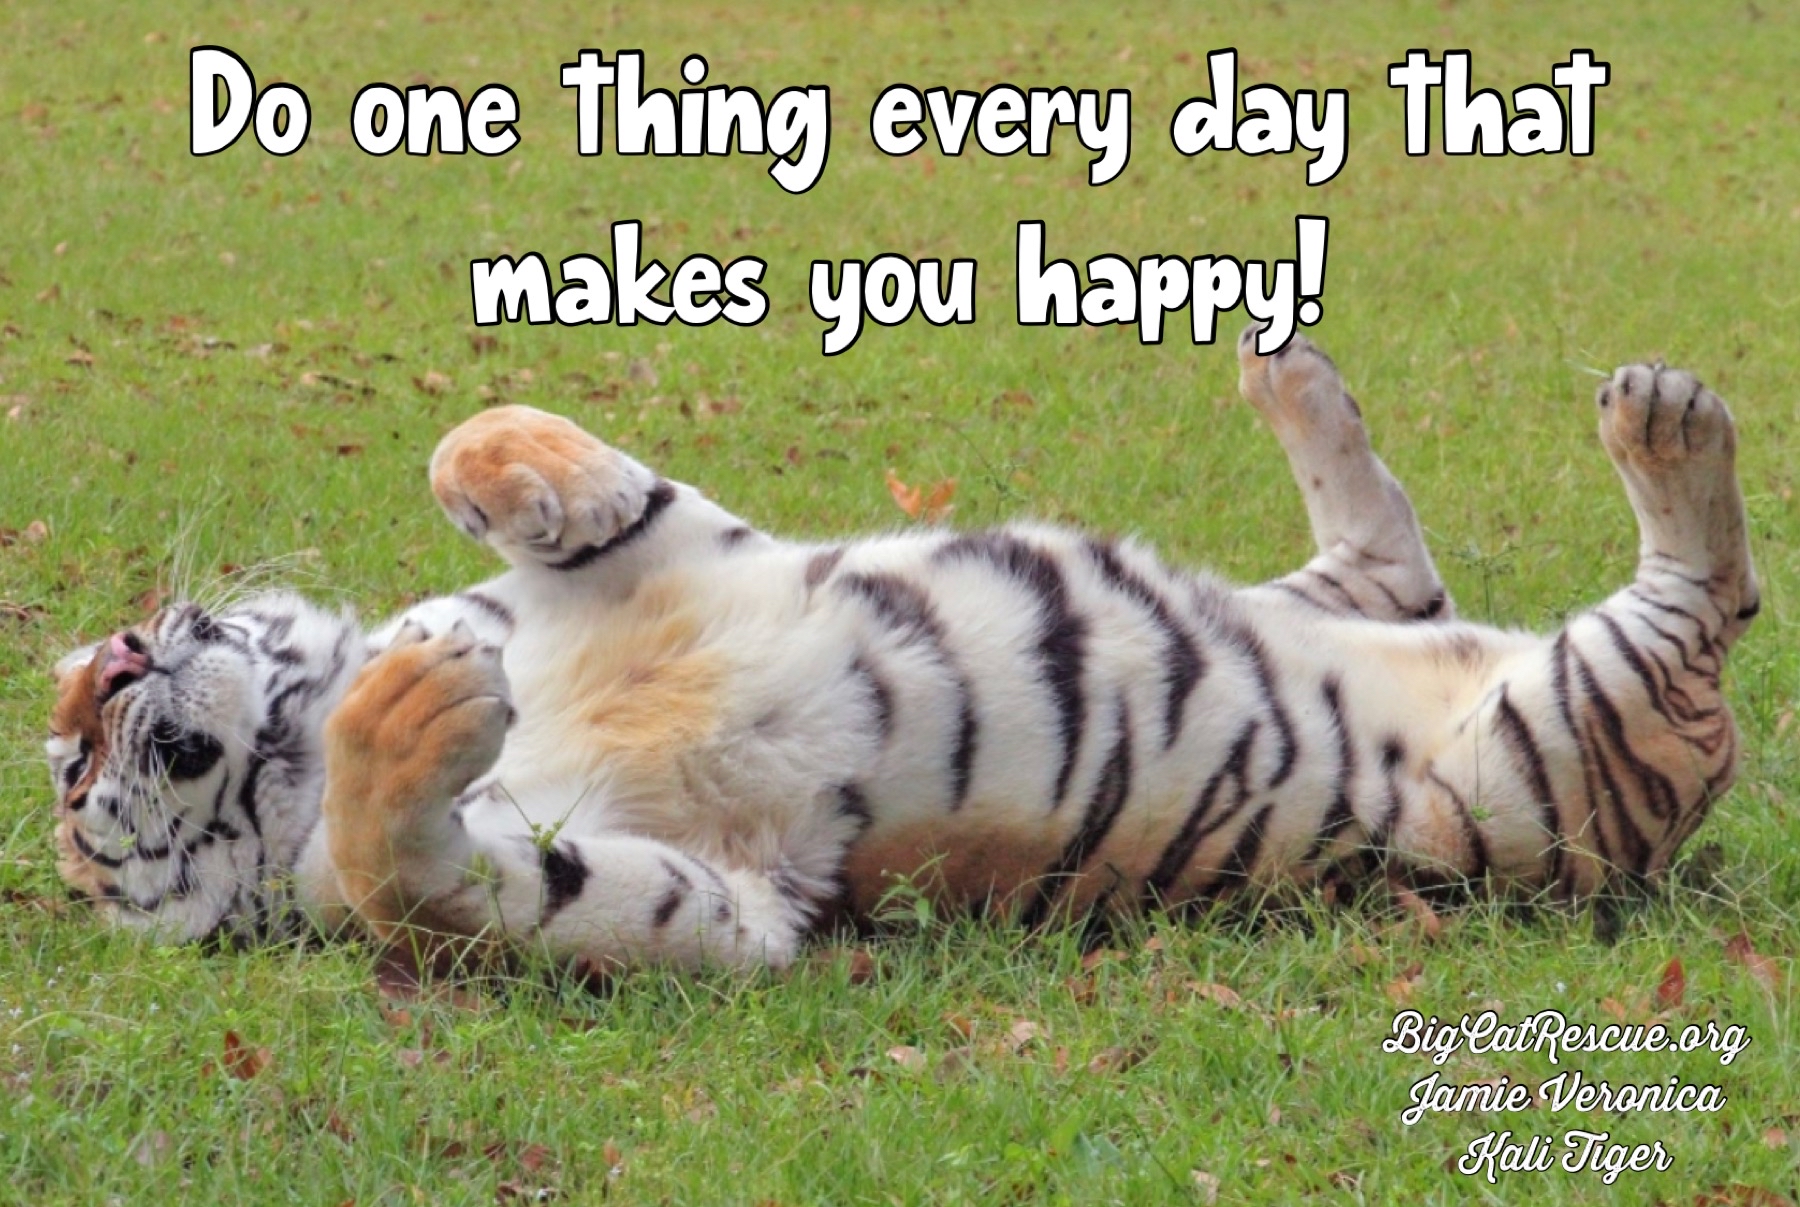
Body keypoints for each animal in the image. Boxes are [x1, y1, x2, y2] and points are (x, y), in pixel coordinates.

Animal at [43, 326, 1759, 970]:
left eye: (74, 724)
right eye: (76, 777)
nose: (103, 665)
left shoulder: (683, 555)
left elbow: (502, 458)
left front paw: (519, 469)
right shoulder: (706, 906)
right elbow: (415, 860)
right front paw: (406, 713)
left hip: (1360, 615)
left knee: (1413, 554)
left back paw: (1300, 369)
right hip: (1546, 768)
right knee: (1703, 619)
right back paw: (1670, 423)